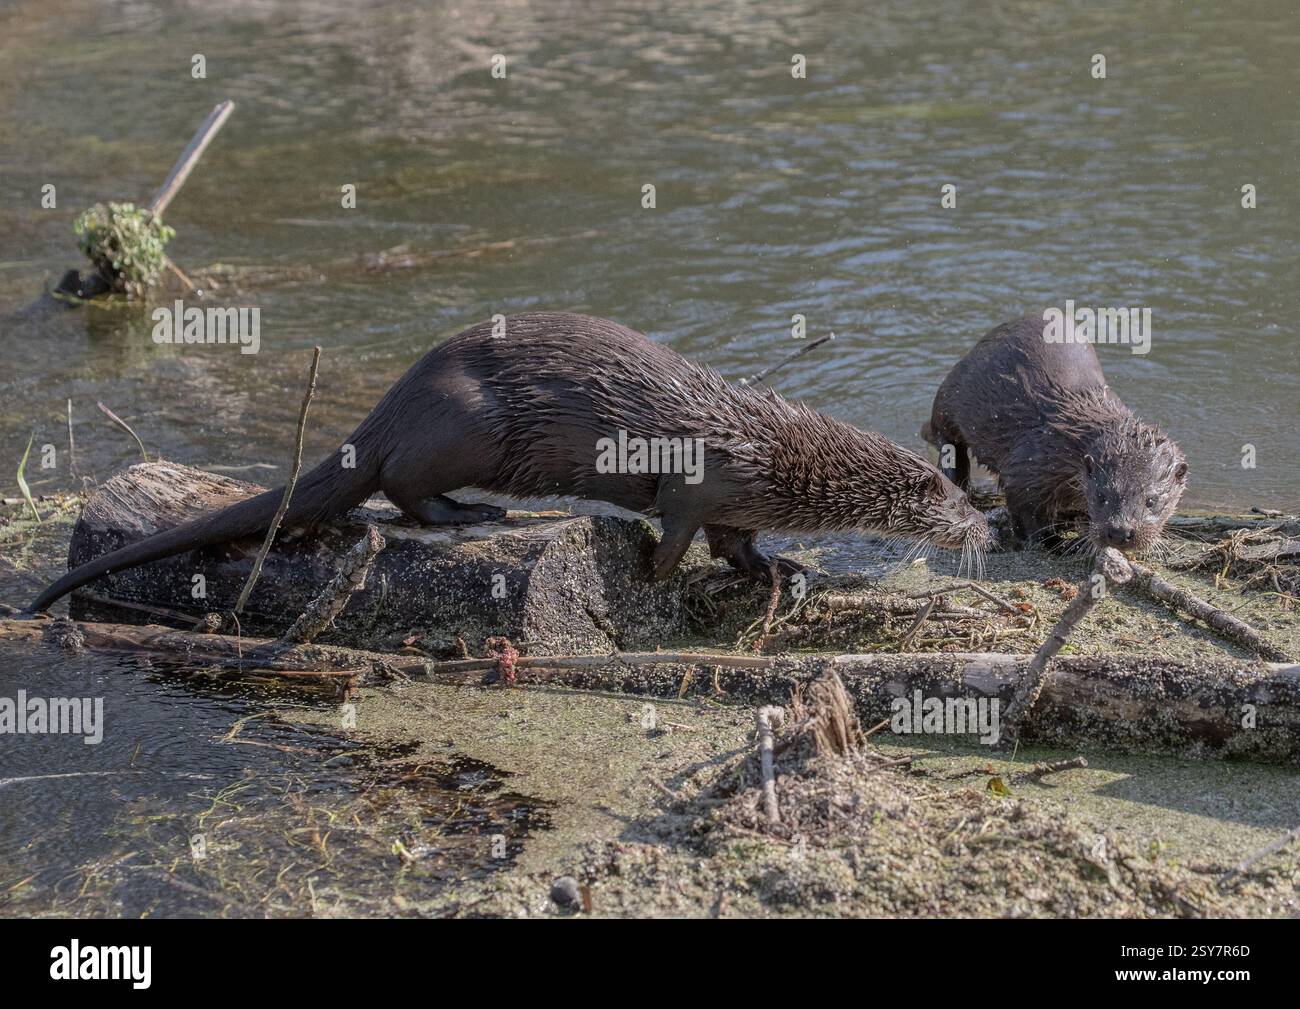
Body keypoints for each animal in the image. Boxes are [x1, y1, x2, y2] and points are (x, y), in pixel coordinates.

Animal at [31, 313, 989, 612]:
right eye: (957, 498)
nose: (990, 530)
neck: (777, 453)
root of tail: (396, 400)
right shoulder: (701, 481)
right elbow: (679, 536)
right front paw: (653, 574)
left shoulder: (738, 501)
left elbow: (739, 546)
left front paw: (785, 569)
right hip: (468, 424)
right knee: (399, 487)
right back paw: (472, 513)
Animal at [922, 314, 1187, 554]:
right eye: (1101, 495)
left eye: (1151, 501)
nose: (1120, 532)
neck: (1067, 442)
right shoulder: (1029, 466)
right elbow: (1027, 512)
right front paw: (1057, 543)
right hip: (950, 397)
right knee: (948, 441)